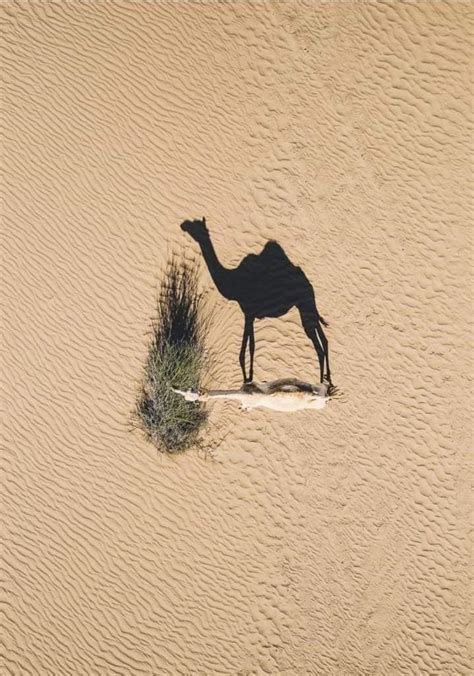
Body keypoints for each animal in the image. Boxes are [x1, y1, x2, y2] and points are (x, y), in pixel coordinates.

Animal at [181, 217, 331, 384]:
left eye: (195, 225)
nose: (183, 225)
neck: (234, 280)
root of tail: (308, 284)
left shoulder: (248, 312)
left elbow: (247, 347)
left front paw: (247, 379)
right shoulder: (250, 314)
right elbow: (251, 345)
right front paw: (250, 377)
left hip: (305, 304)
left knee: (317, 343)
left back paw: (320, 382)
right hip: (307, 305)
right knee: (323, 338)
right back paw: (328, 379)